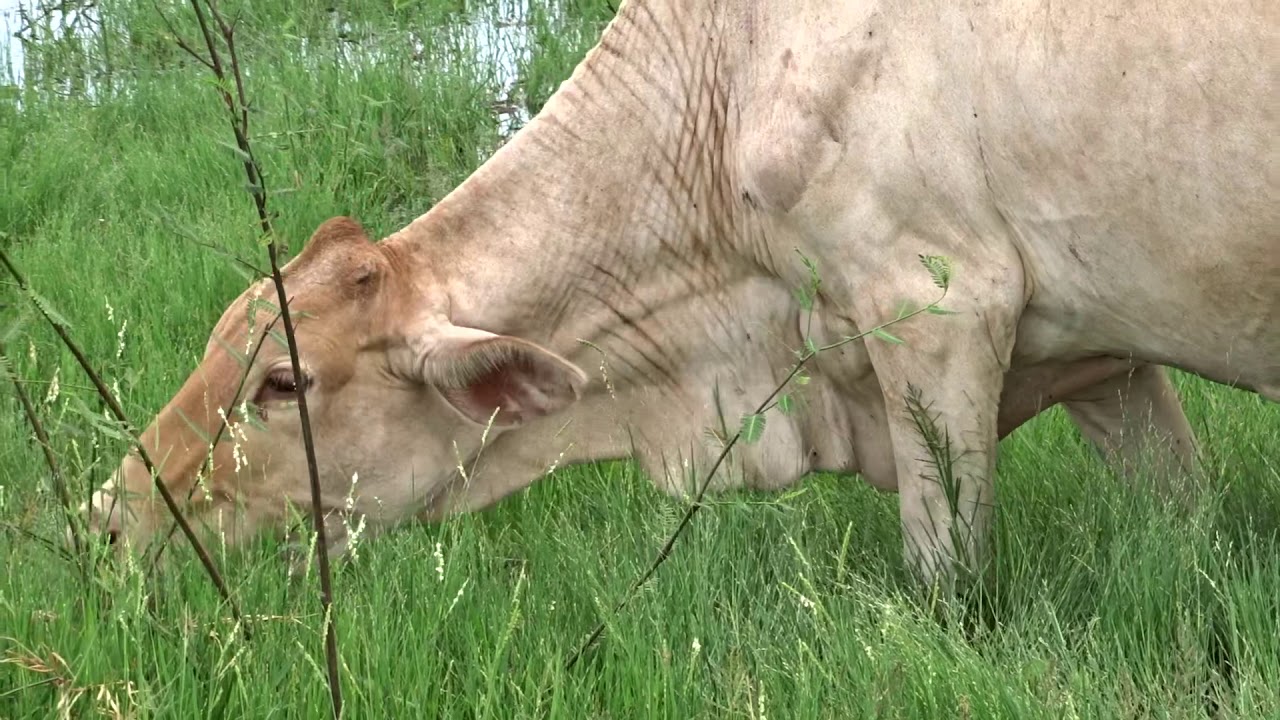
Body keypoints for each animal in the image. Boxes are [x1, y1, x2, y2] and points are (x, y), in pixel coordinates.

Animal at [80, 0, 1274, 592]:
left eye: (285, 382)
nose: (113, 513)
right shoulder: (1103, 352)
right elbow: (1180, 513)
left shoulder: (936, 309)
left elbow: (946, 579)